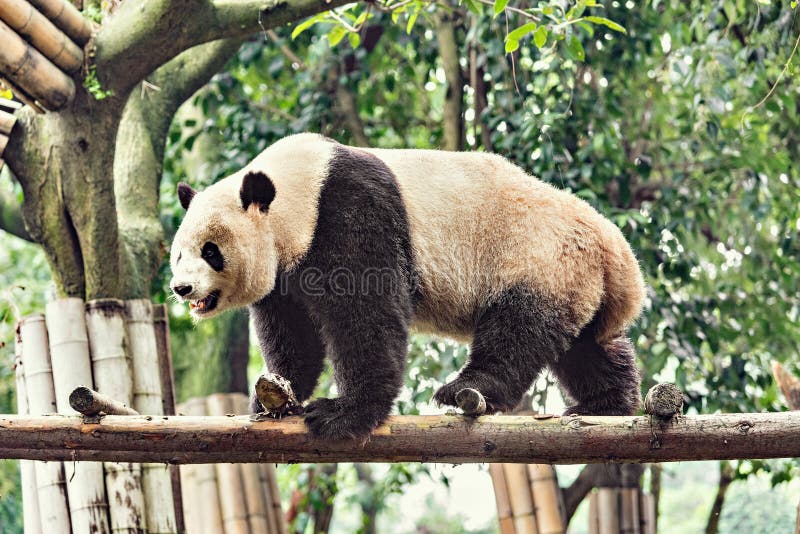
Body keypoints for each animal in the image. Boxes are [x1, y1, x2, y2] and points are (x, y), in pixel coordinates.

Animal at [170, 133, 645, 440]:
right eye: (177, 254)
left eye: (211, 251)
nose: (181, 289)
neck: (299, 189)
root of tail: (615, 247)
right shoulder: (286, 266)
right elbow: (293, 335)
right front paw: (275, 397)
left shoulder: (347, 211)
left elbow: (366, 312)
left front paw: (342, 415)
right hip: (579, 280)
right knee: (588, 346)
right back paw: (605, 406)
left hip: (538, 256)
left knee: (520, 327)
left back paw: (467, 389)